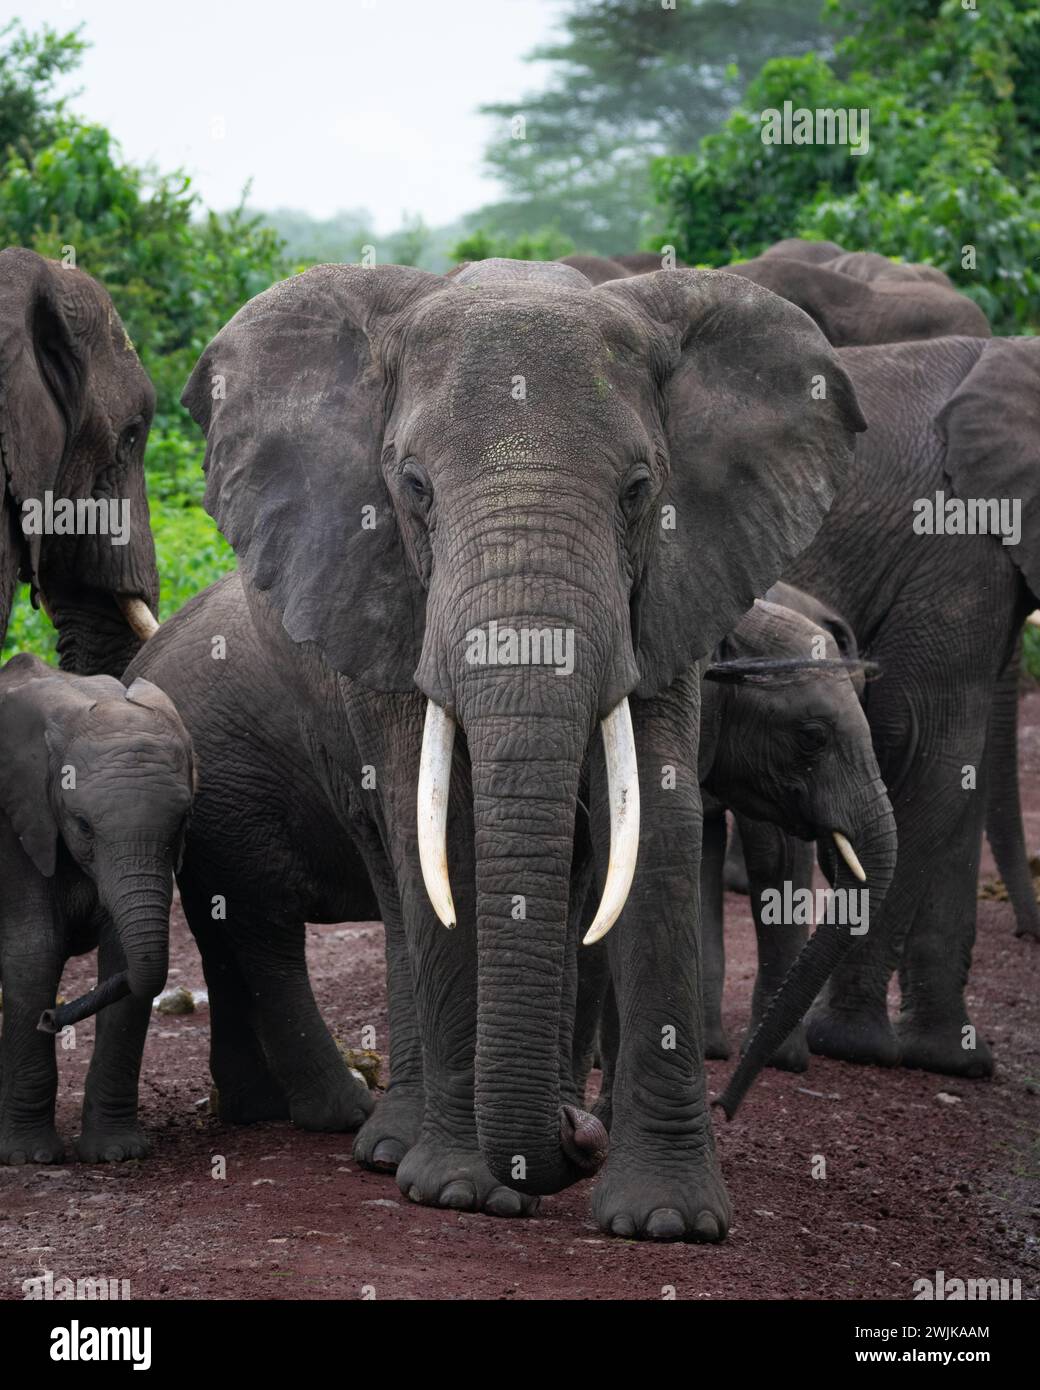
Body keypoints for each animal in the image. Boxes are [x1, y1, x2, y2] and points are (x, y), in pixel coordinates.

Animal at [0, 652, 193, 1164]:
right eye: (83, 825)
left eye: (182, 823)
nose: (51, 1020)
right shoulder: (13, 824)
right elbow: (34, 955)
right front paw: (28, 1158)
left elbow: (126, 960)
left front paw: (115, 1153)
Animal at [150, 257, 864, 1241]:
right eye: (414, 488)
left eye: (638, 490)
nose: (574, 1136)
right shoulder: (384, 594)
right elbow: (440, 828)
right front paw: (462, 1191)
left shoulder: (677, 584)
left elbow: (658, 825)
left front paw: (669, 1221)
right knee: (363, 884)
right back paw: (391, 1146)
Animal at [780, 334, 1040, 1076]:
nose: (1031, 933)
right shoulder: (956, 550)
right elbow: (930, 755)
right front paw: (854, 1046)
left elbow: (962, 776)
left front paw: (952, 1061)